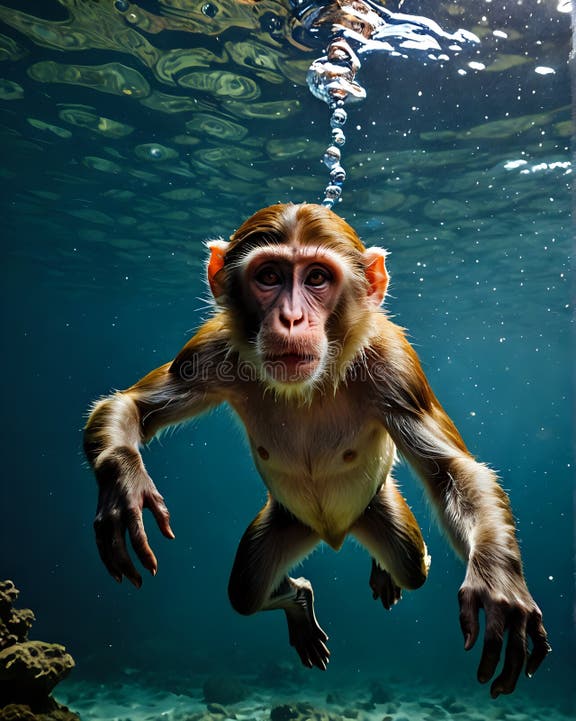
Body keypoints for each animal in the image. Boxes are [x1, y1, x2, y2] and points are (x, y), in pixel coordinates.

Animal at [84, 202, 550, 697]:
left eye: (317, 278)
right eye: (269, 275)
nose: (290, 318)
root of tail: (334, 534)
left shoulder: (395, 365)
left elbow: (450, 471)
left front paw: (498, 579)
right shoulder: (209, 349)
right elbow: (135, 405)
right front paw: (123, 483)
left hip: (374, 510)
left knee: (411, 563)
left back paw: (386, 570)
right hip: (289, 522)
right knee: (245, 592)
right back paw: (299, 601)